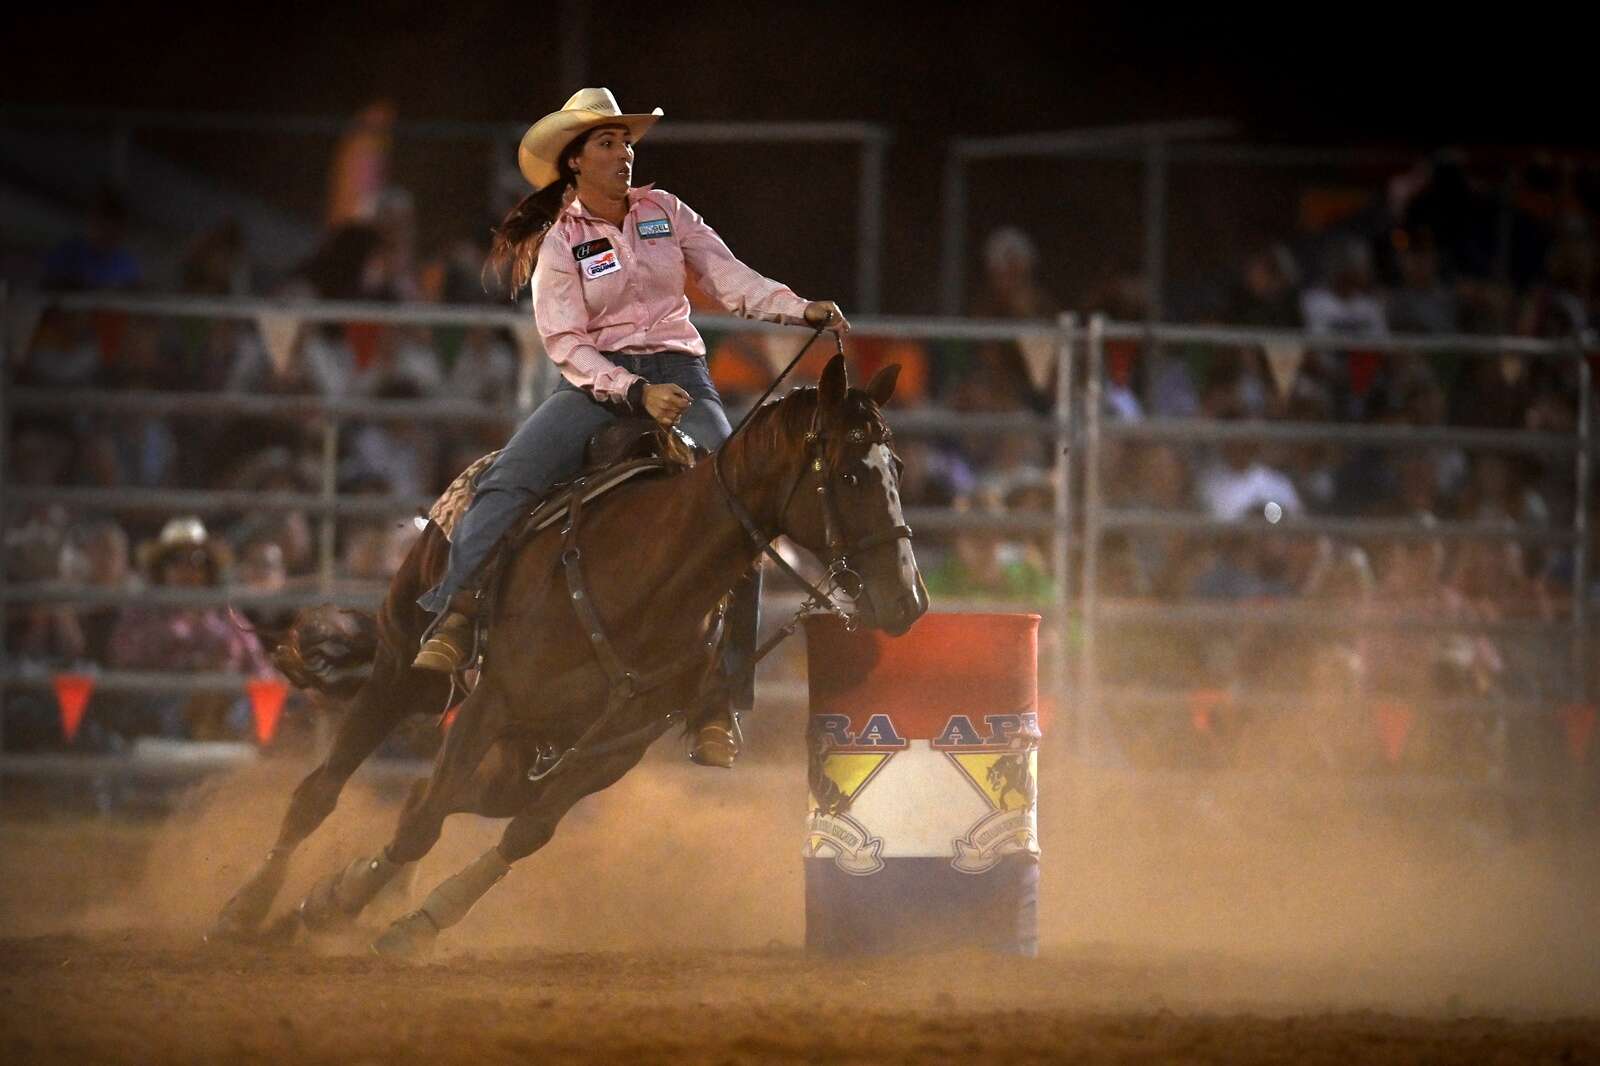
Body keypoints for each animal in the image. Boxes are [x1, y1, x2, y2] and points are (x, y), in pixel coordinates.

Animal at [210, 354, 927, 954]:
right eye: (849, 473)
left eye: (897, 470)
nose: (909, 600)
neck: (644, 578)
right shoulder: (491, 705)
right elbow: (423, 827)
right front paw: (341, 907)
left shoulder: (611, 751)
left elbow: (524, 833)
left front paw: (411, 919)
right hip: (405, 669)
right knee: (325, 791)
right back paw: (245, 912)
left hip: (526, 753)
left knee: (425, 795)